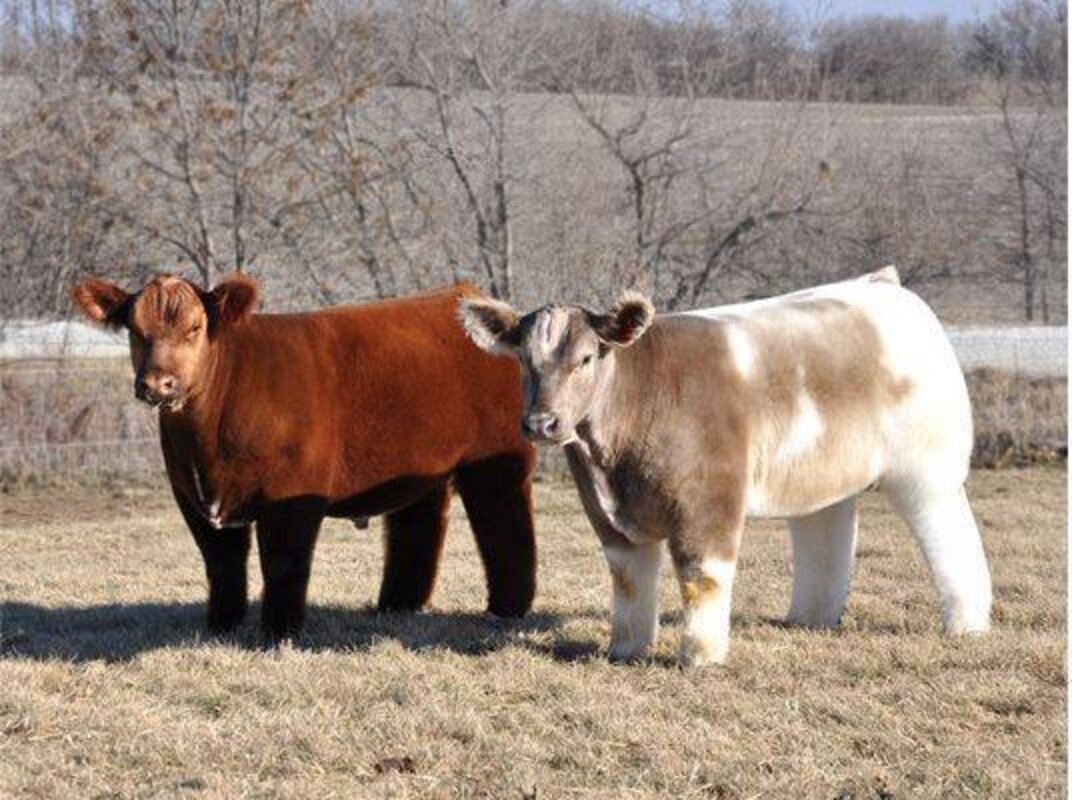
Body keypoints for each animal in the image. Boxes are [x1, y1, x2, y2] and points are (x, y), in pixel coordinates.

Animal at [72, 274, 537, 641]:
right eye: (134, 329)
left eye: (195, 327)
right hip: (419, 463)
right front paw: (220, 627)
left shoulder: (292, 493)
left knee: (504, 524)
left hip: (496, 457)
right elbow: (221, 563)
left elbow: (283, 561)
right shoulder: (190, 495)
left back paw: (507, 609)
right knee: (418, 524)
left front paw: (279, 633)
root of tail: (467, 295)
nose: (158, 383)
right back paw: (398, 605)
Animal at [459, 267, 992, 667]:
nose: (541, 423)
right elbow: (629, 581)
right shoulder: (610, 517)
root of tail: (882, 284)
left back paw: (968, 624)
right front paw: (625, 649)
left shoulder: (708, 503)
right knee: (824, 533)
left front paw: (700, 656)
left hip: (928, 471)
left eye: (587, 358)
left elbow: (702, 579)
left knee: (953, 540)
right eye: (523, 360)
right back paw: (810, 617)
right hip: (823, 473)